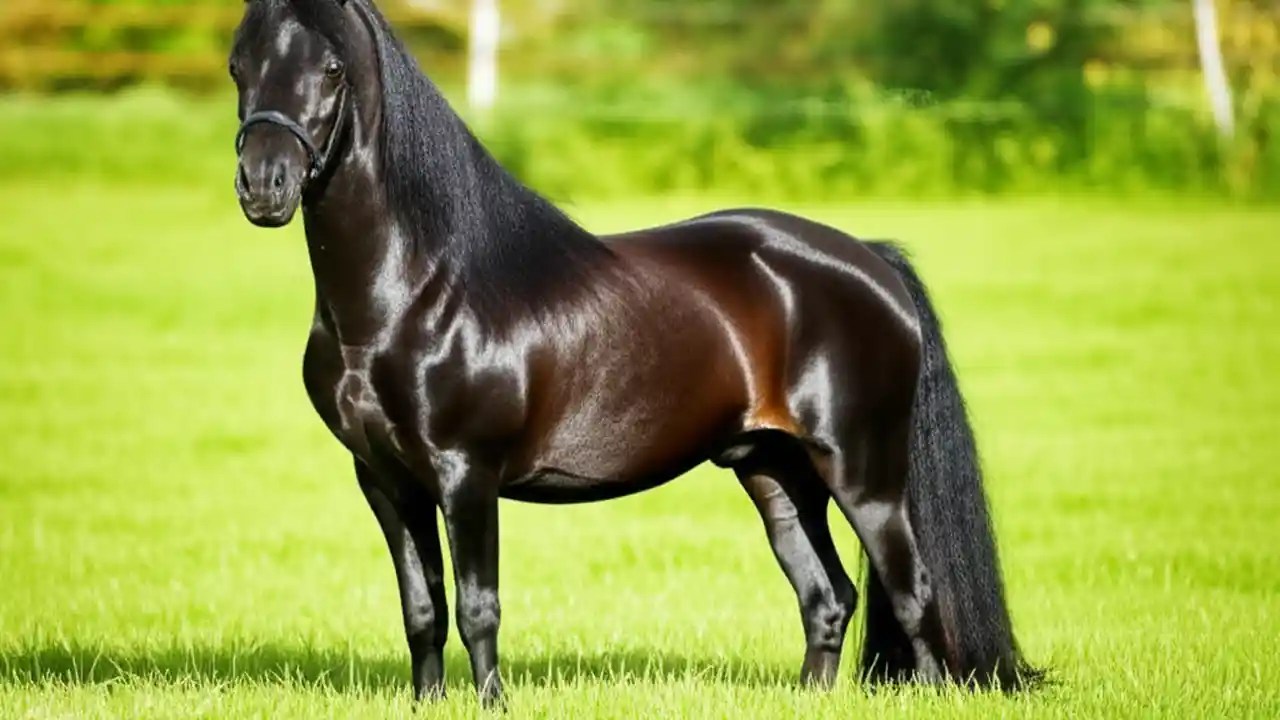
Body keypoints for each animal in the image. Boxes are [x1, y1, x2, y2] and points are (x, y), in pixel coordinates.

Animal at [227, 0, 1038, 706]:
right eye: (240, 64)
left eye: (332, 68)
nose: (264, 186)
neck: (417, 290)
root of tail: (872, 262)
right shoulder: (385, 479)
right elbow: (421, 609)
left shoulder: (467, 475)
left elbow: (477, 607)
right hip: (775, 469)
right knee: (828, 595)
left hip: (863, 473)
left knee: (912, 592)